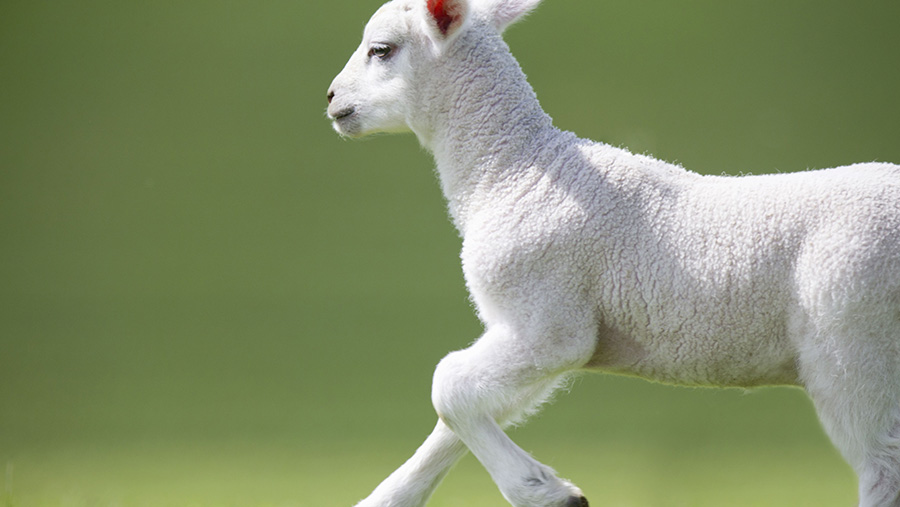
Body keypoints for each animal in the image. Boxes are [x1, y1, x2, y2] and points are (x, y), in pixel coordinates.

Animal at [325, 0, 900, 505]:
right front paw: (389, 499)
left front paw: (547, 493)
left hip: (853, 338)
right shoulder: (526, 327)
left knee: (882, 467)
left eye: (381, 49)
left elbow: (448, 387)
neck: (511, 171)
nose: (331, 99)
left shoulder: (550, 321)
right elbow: (457, 413)